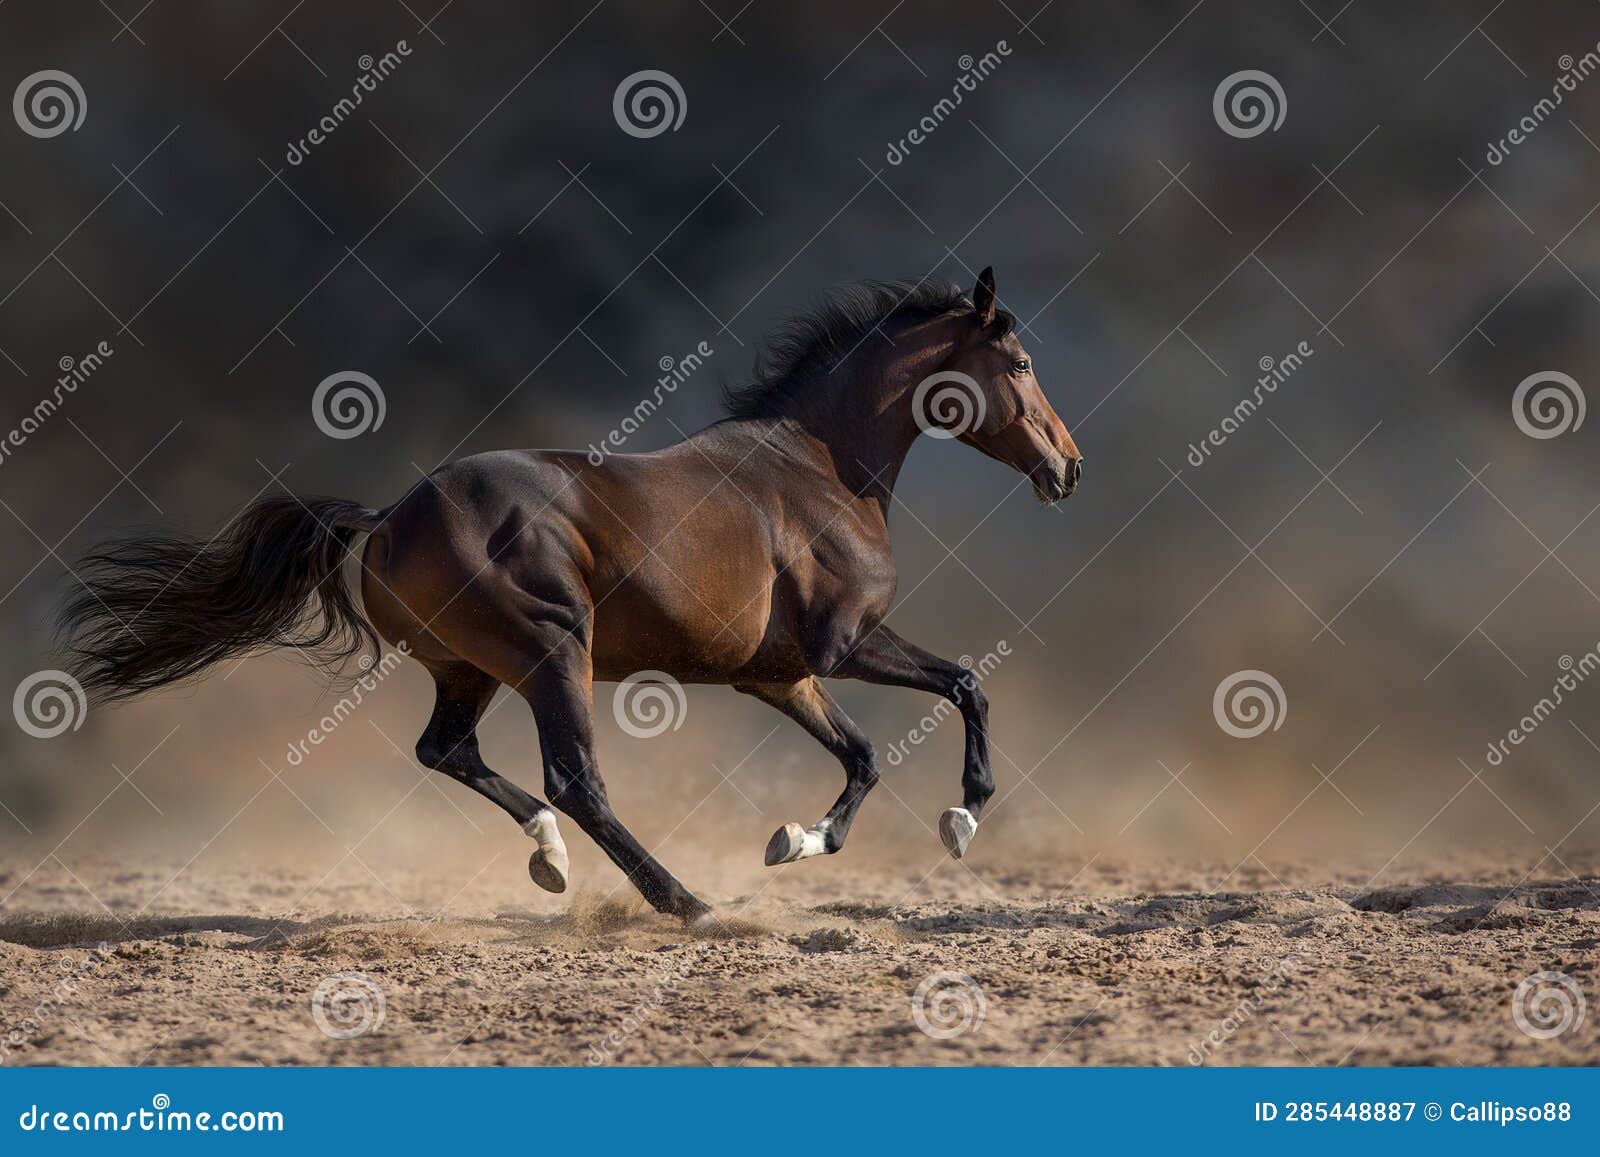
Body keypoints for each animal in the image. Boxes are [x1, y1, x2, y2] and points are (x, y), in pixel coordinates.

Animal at [59, 267, 1082, 926]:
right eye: (1023, 365)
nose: (1069, 468)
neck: (821, 468)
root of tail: (388, 516)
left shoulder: (778, 673)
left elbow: (864, 754)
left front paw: (795, 840)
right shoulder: (844, 642)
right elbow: (963, 684)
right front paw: (962, 817)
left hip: (471, 666)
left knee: (449, 750)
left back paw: (548, 858)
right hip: (555, 652)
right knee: (575, 778)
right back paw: (682, 900)